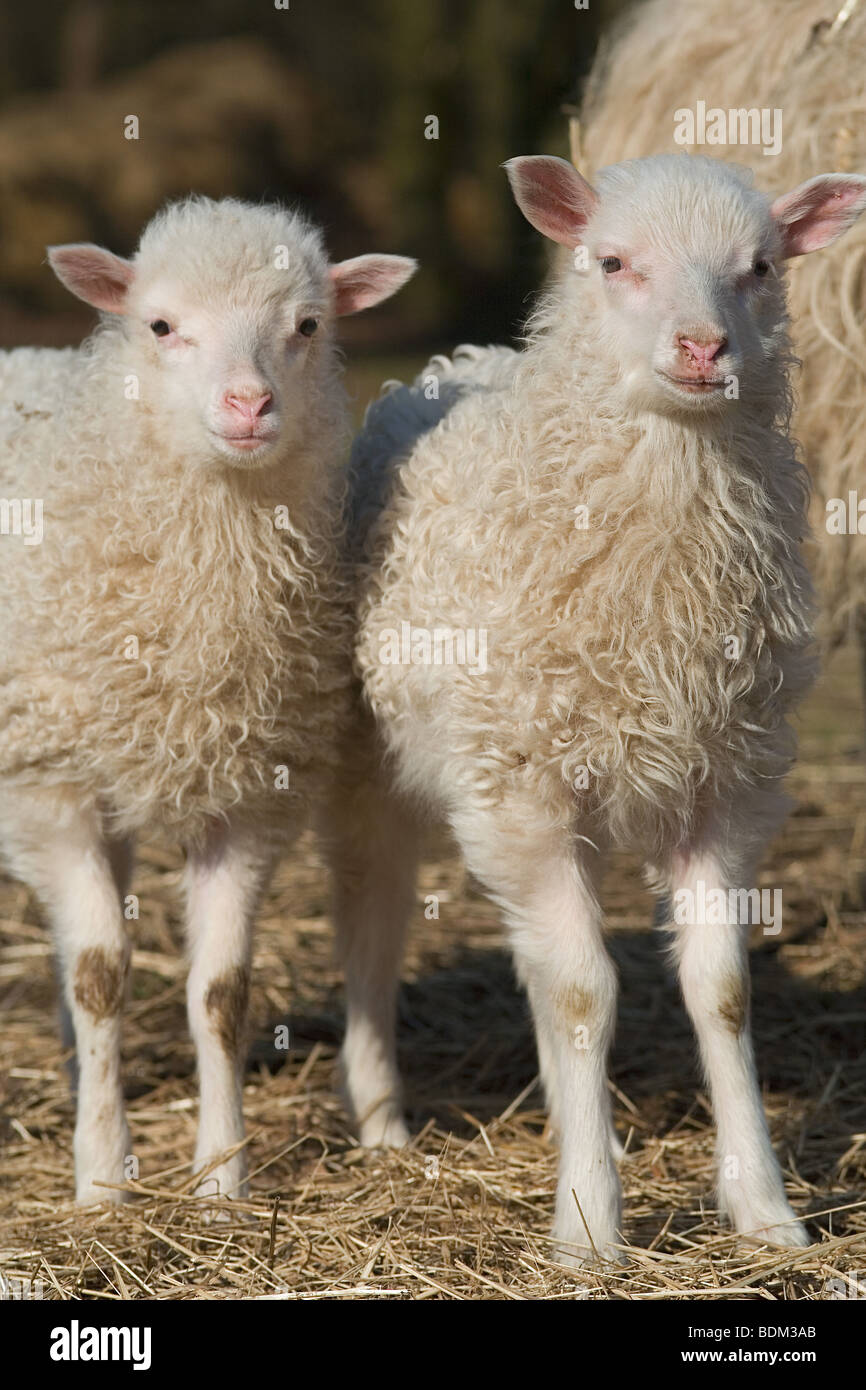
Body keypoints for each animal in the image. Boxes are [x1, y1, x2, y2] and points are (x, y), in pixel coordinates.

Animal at [0, 196, 415, 1207]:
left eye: (308, 326)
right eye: (160, 327)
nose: (248, 406)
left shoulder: (251, 796)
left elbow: (221, 993)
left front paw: (223, 1182)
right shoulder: (46, 784)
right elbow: (103, 976)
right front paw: (102, 1181)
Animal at [329, 153, 866, 1265]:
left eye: (760, 266)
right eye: (614, 262)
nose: (702, 347)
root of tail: (461, 360)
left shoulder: (726, 784)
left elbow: (717, 991)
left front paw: (766, 1210)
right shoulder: (527, 786)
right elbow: (586, 992)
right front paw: (587, 1226)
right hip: (383, 763)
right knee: (375, 924)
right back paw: (384, 1127)